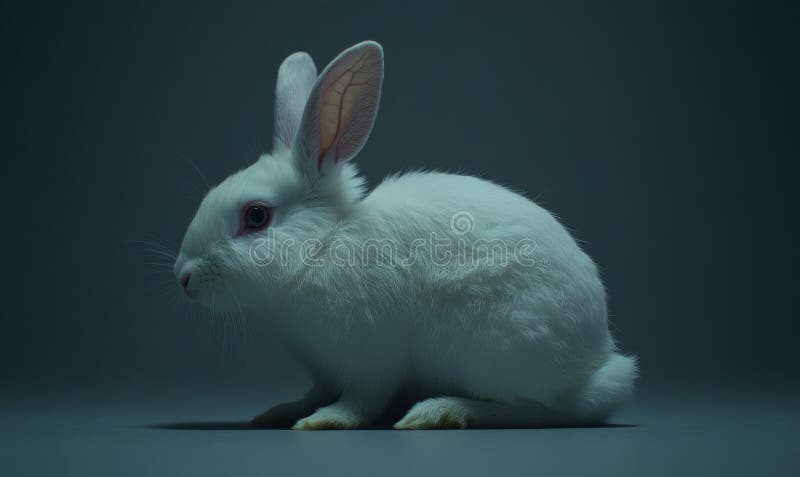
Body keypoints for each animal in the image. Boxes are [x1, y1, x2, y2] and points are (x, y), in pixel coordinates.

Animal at [173, 40, 638, 429]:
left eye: (256, 216)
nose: (184, 278)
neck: (321, 247)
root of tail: (596, 366)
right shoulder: (326, 367)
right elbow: (316, 391)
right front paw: (281, 411)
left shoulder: (370, 354)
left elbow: (362, 399)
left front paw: (324, 421)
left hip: (495, 347)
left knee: (539, 409)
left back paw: (439, 412)